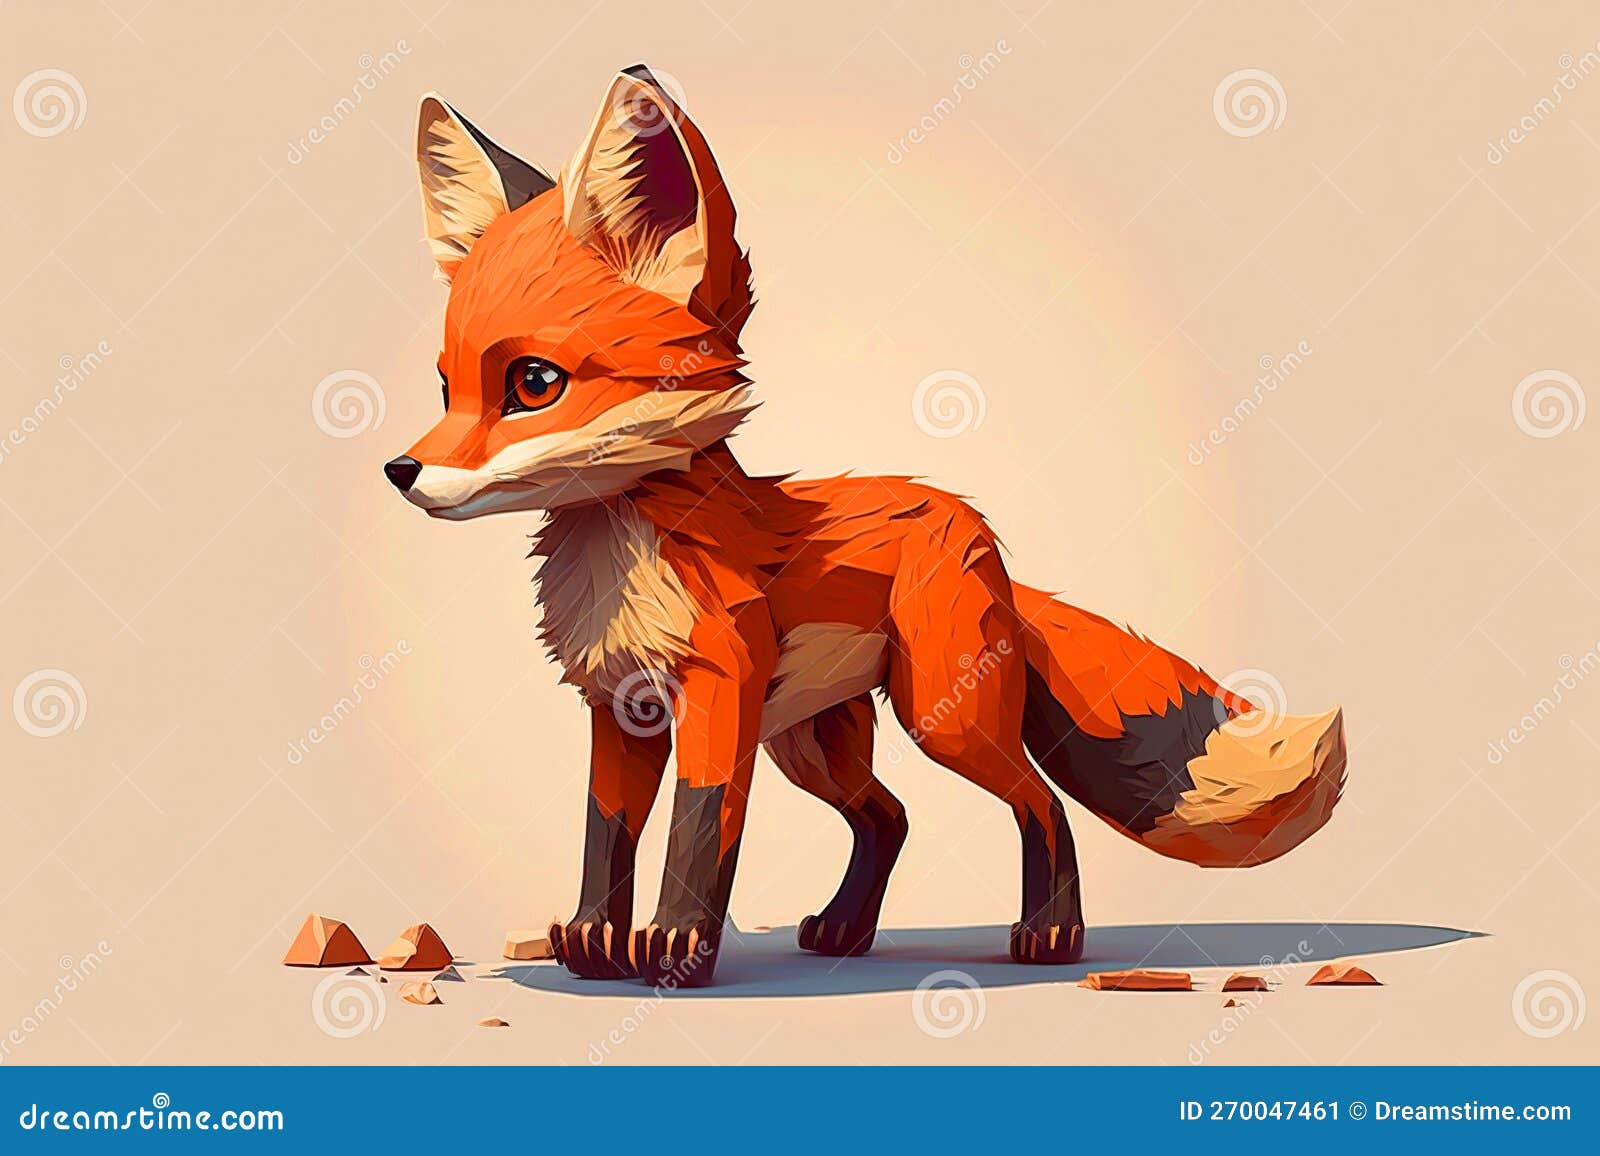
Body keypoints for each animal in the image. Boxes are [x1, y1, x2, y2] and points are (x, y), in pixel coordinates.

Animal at [384, 66, 1348, 987]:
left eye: (533, 384)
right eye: (446, 387)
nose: (400, 473)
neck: (622, 568)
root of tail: (980, 533)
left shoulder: (718, 699)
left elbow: (698, 833)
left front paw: (678, 949)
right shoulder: (620, 708)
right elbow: (605, 837)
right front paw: (593, 941)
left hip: (938, 719)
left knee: (1039, 803)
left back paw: (1051, 935)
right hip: (812, 745)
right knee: (892, 815)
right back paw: (847, 930)